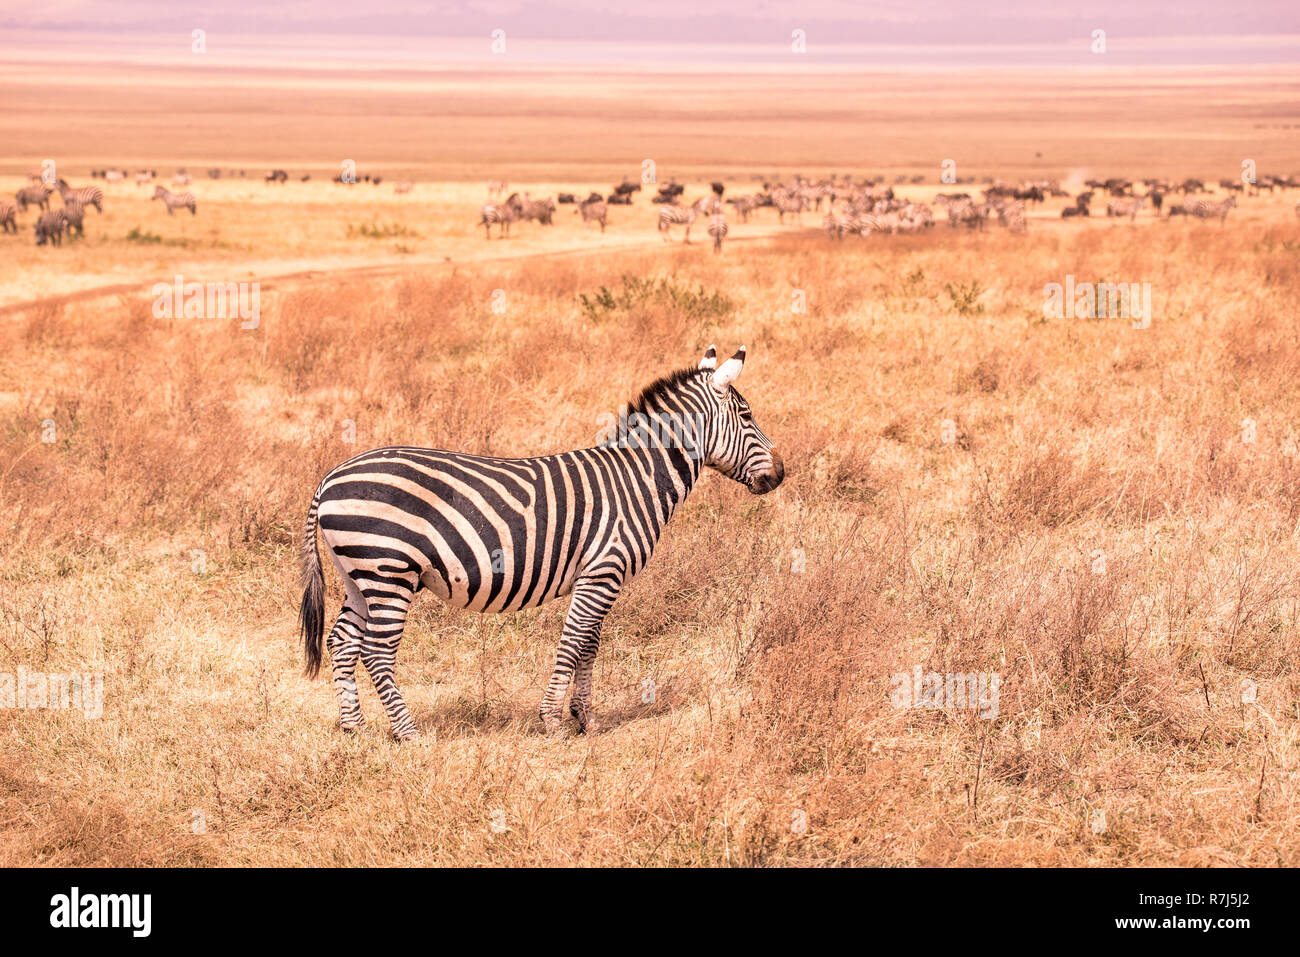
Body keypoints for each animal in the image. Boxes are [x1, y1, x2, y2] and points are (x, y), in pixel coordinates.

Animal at [298, 346, 784, 739]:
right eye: (747, 416)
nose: (781, 474)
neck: (638, 480)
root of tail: (330, 477)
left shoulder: (598, 577)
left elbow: (589, 645)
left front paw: (586, 719)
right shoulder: (603, 571)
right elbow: (573, 641)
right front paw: (552, 720)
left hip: (359, 575)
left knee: (342, 641)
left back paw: (354, 727)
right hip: (387, 571)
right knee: (376, 651)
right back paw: (409, 734)